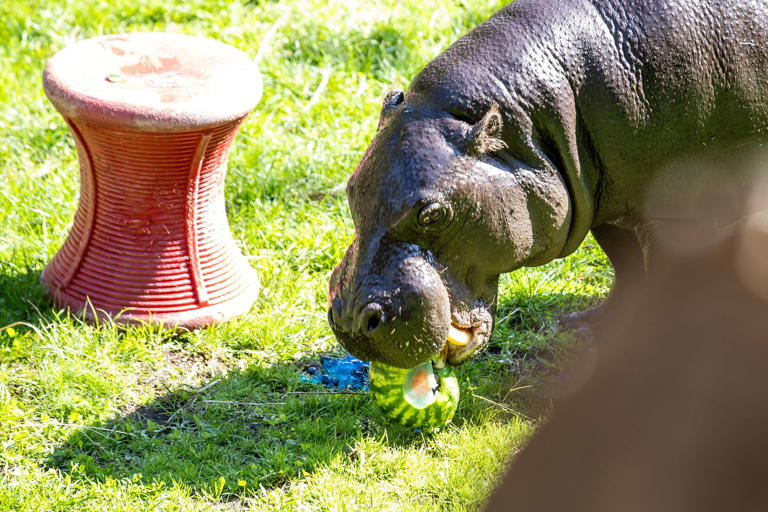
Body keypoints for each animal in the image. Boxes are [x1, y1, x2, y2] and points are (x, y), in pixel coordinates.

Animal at [328, 0, 768, 369]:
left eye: (433, 214)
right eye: (350, 188)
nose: (350, 320)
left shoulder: (673, 213)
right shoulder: (605, 199)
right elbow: (625, 263)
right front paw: (590, 325)